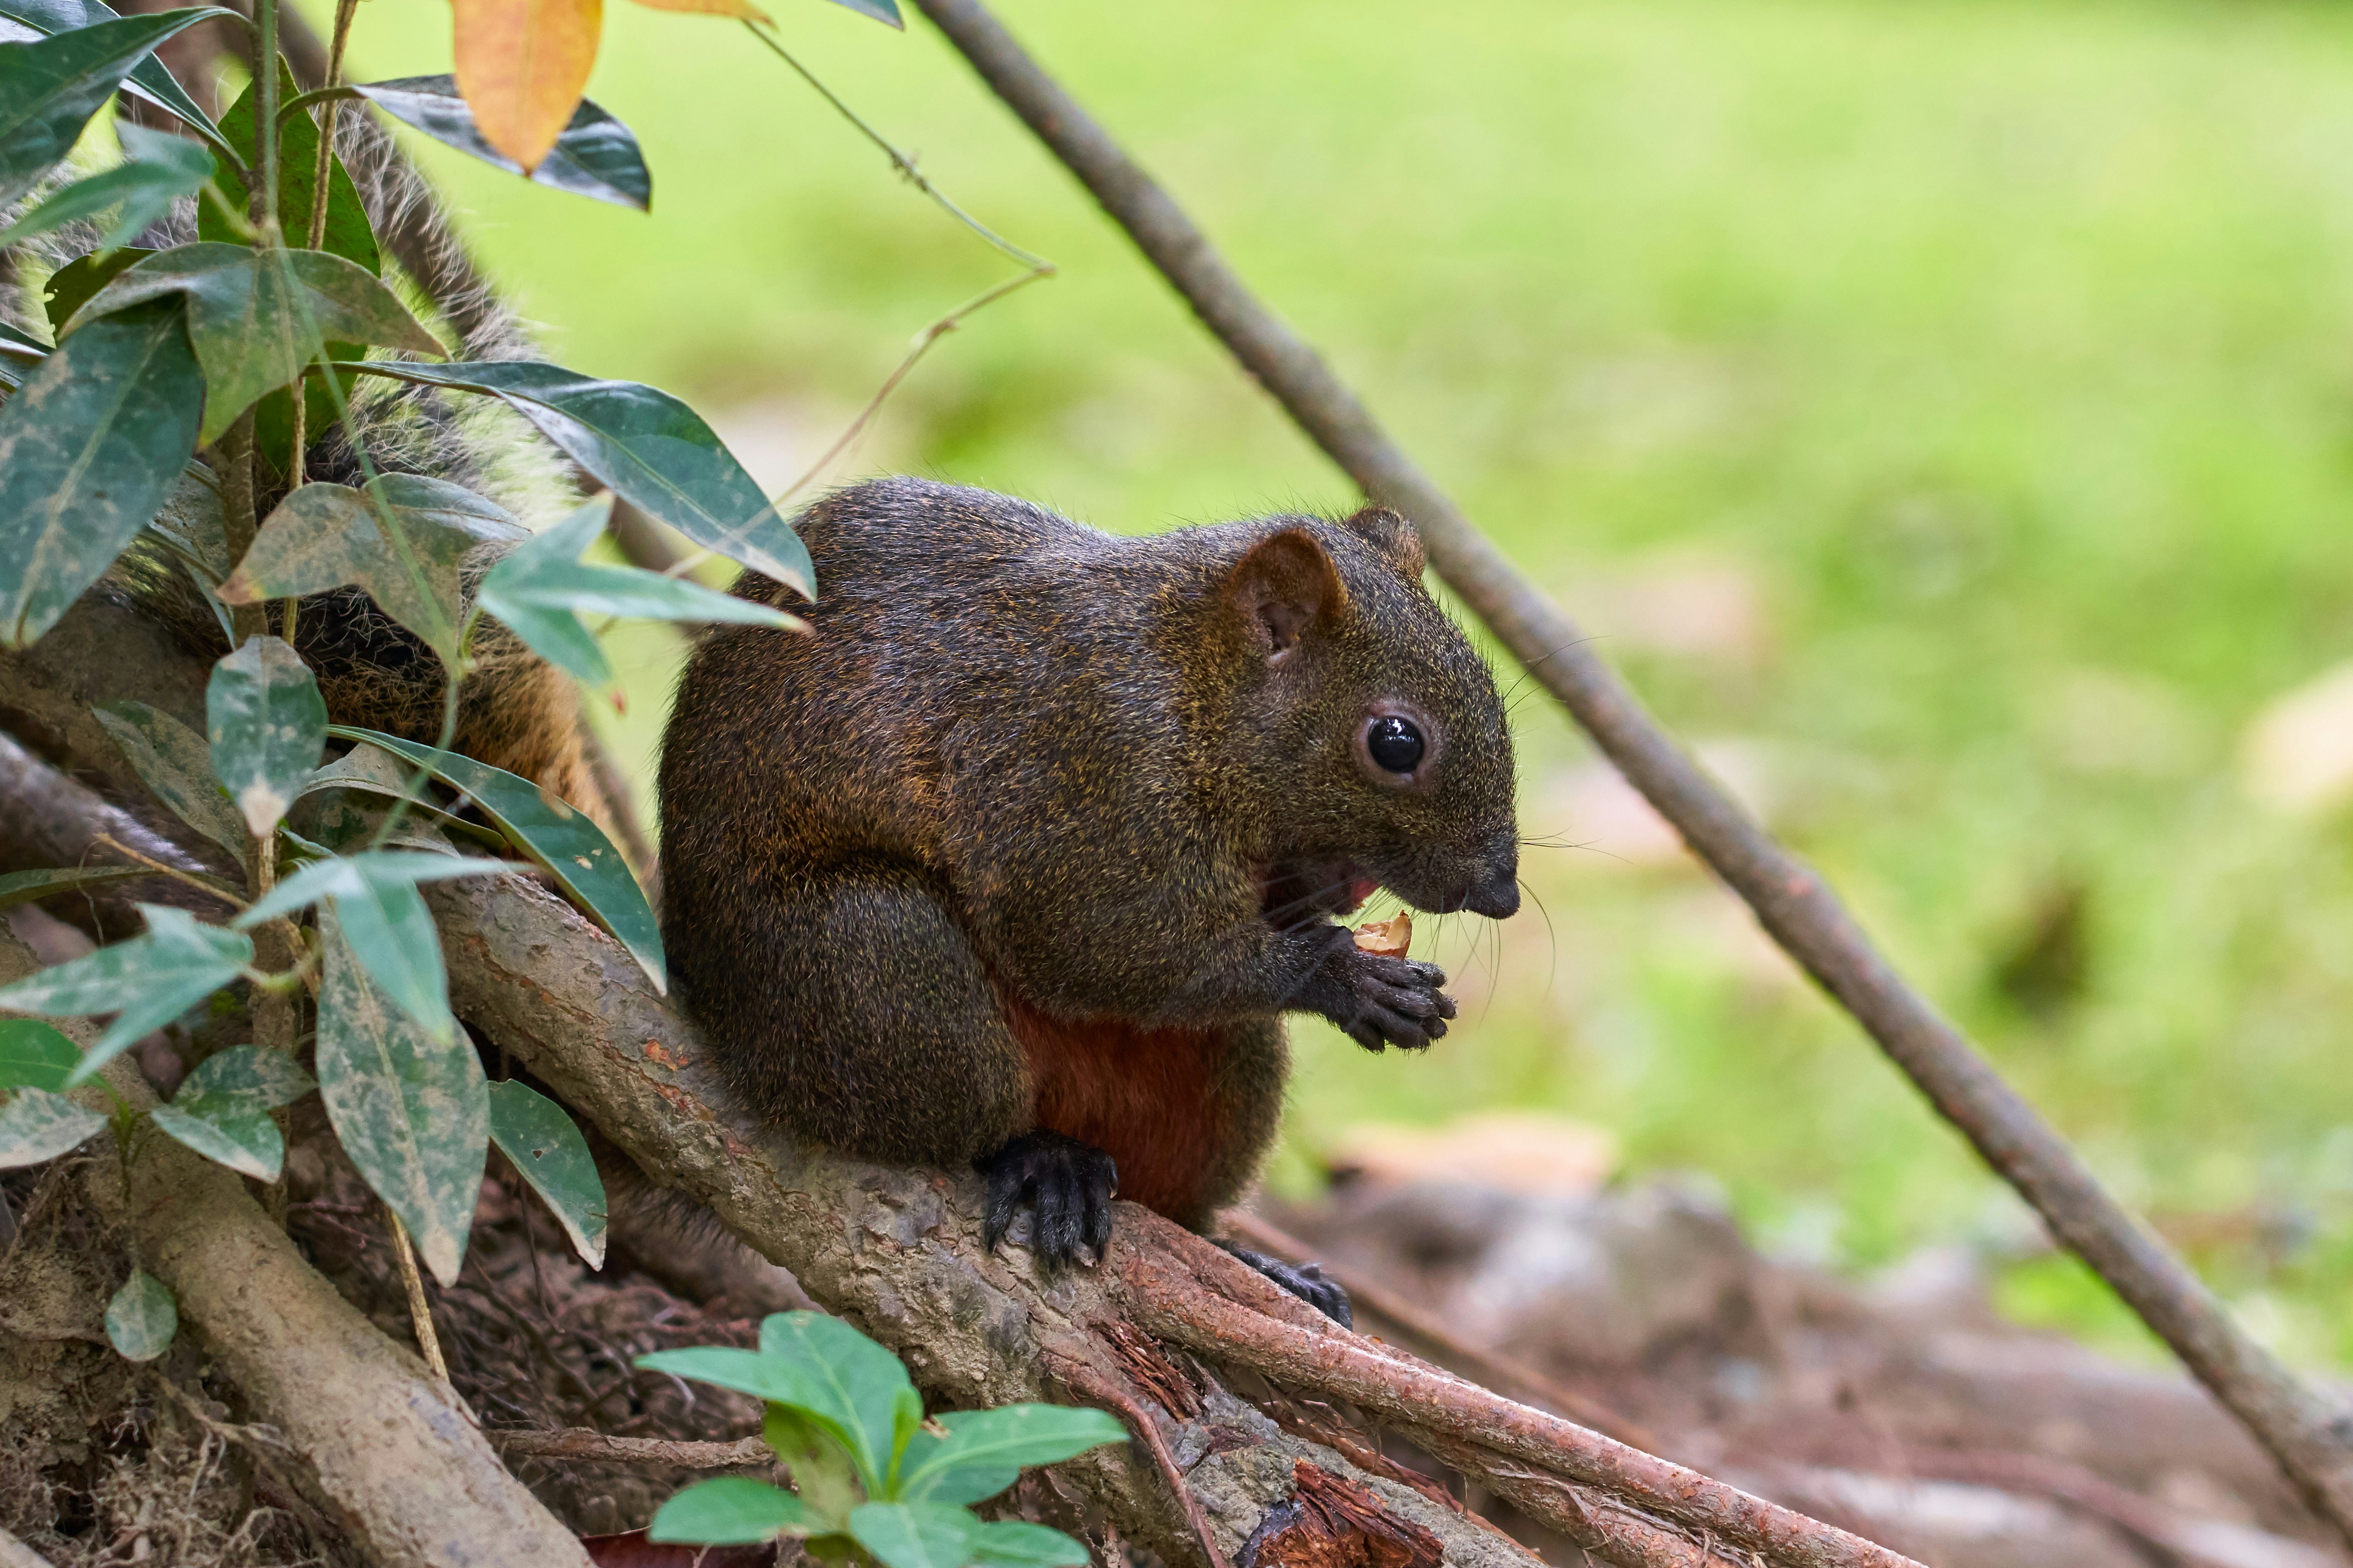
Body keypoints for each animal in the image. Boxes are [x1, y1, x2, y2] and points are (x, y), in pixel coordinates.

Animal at [659, 477, 1521, 1321]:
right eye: (1396, 743)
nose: (1502, 894)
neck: (1193, 684)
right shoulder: (1077, 769)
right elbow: (1090, 942)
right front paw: (1346, 979)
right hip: (865, 963)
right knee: (938, 1116)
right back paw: (1041, 1158)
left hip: (1224, 1066)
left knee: (1176, 1192)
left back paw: (1257, 1263)